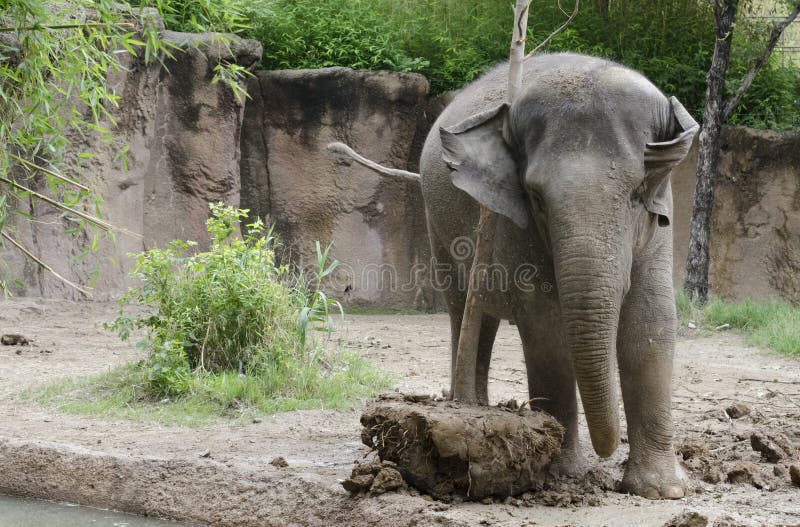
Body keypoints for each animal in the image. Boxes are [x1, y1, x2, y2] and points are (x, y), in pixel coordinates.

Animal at [331, 52, 698, 499]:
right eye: (536, 197)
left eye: (637, 193)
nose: (606, 455)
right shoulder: (513, 221)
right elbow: (546, 328)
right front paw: (566, 476)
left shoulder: (663, 219)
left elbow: (651, 322)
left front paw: (660, 491)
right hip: (439, 228)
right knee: (465, 311)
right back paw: (469, 407)